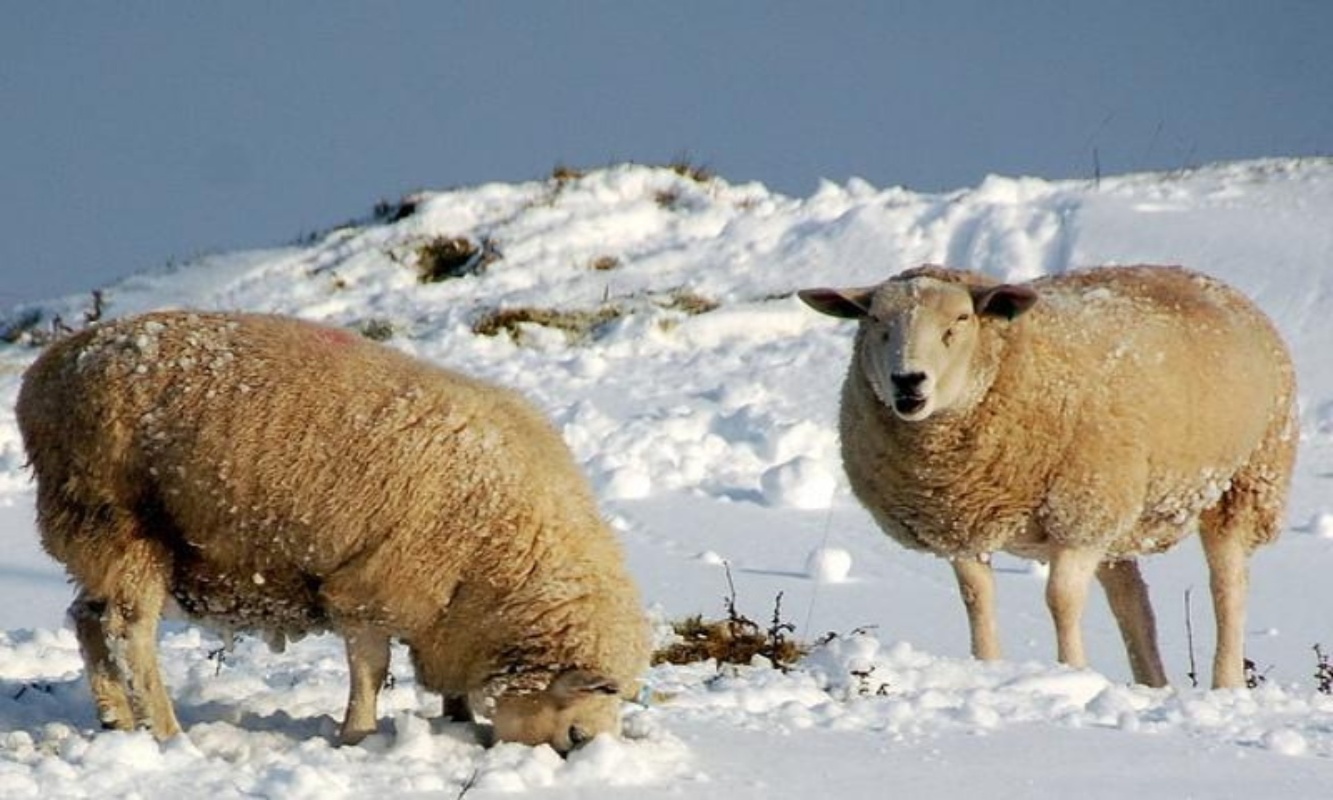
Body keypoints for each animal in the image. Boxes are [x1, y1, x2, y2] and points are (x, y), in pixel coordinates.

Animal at [16, 310, 650, 753]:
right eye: (575, 735)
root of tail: (42, 375)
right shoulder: (372, 586)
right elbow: (372, 669)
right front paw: (359, 736)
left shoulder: (445, 610)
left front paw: (457, 721)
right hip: (120, 523)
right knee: (129, 632)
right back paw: (167, 732)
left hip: (95, 536)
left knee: (88, 619)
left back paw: (115, 719)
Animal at [798, 264, 1297, 689]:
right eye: (875, 319)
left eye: (961, 318)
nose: (908, 380)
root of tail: (1214, 282)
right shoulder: (962, 525)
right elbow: (977, 598)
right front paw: (987, 666)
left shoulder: (1076, 515)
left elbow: (1060, 600)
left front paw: (1071, 672)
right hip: (1117, 512)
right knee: (1132, 601)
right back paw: (1151, 683)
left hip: (1242, 482)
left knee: (1228, 589)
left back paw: (1226, 684)